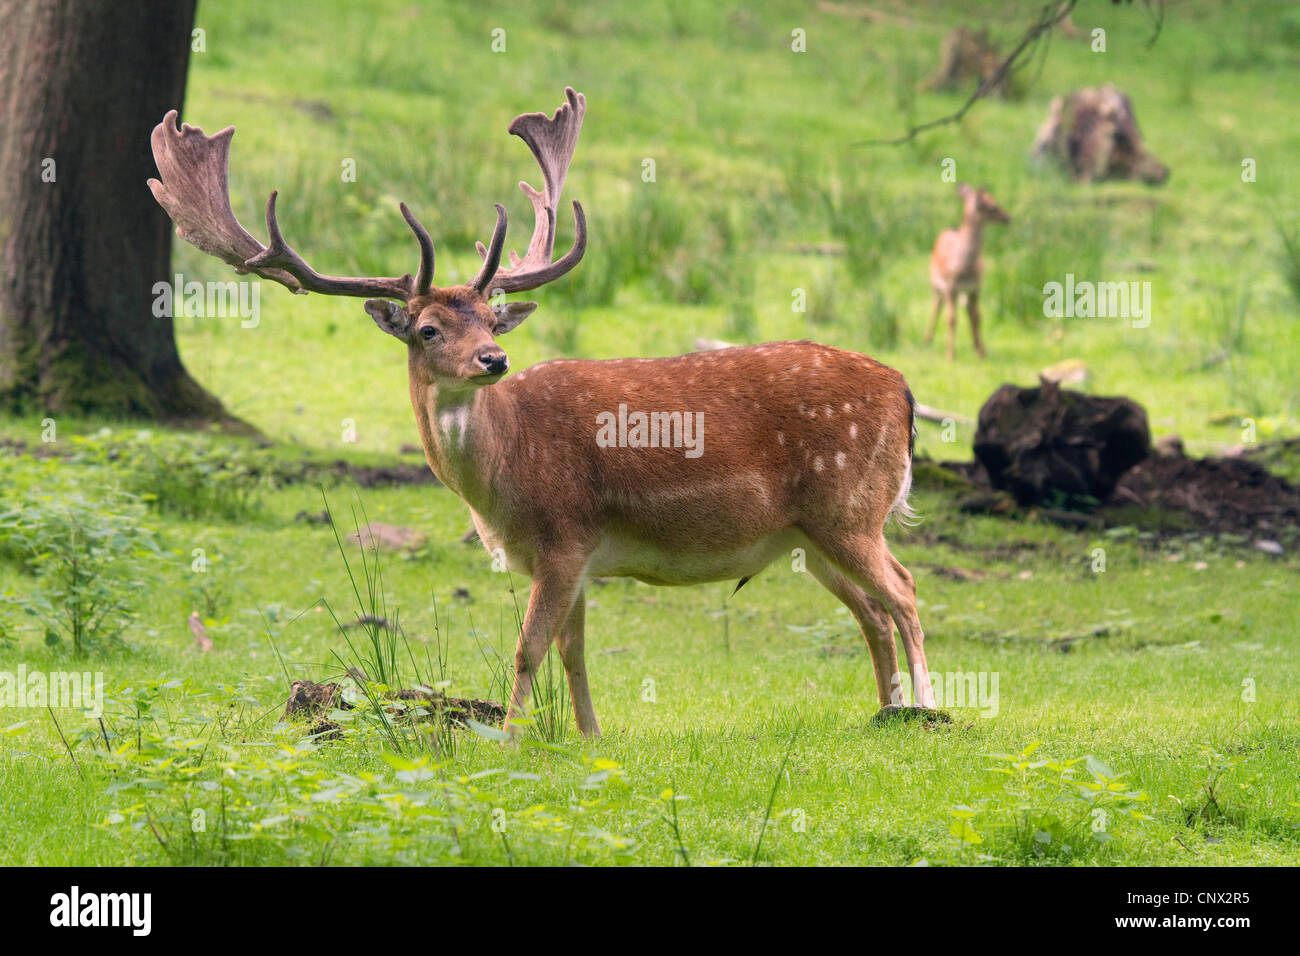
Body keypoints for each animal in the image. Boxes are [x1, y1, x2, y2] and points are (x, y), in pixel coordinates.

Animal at [148, 87, 938, 738]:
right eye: (428, 328)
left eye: (491, 318)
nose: (493, 360)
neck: (504, 484)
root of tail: (904, 392)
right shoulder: (573, 556)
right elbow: (572, 650)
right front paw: (588, 735)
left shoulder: (564, 535)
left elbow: (528, 648)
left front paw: (513, 735)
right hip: (808, 534)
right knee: (871, 610)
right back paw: (886, 711)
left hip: (848, 504)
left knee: (903, 591)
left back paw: (929, 710)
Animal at [926, 182, 1010, 360]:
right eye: (992, 206)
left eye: (994, 201)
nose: (1007, 218)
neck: (964, 266)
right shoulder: (950, 287)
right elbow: (951, 319)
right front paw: (950, 354)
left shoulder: (976, 287)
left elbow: (977, 317)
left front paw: (982, 352)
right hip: (936, 284)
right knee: (936, 306)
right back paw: (927, 339)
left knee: (968, 311)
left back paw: (975, 345)